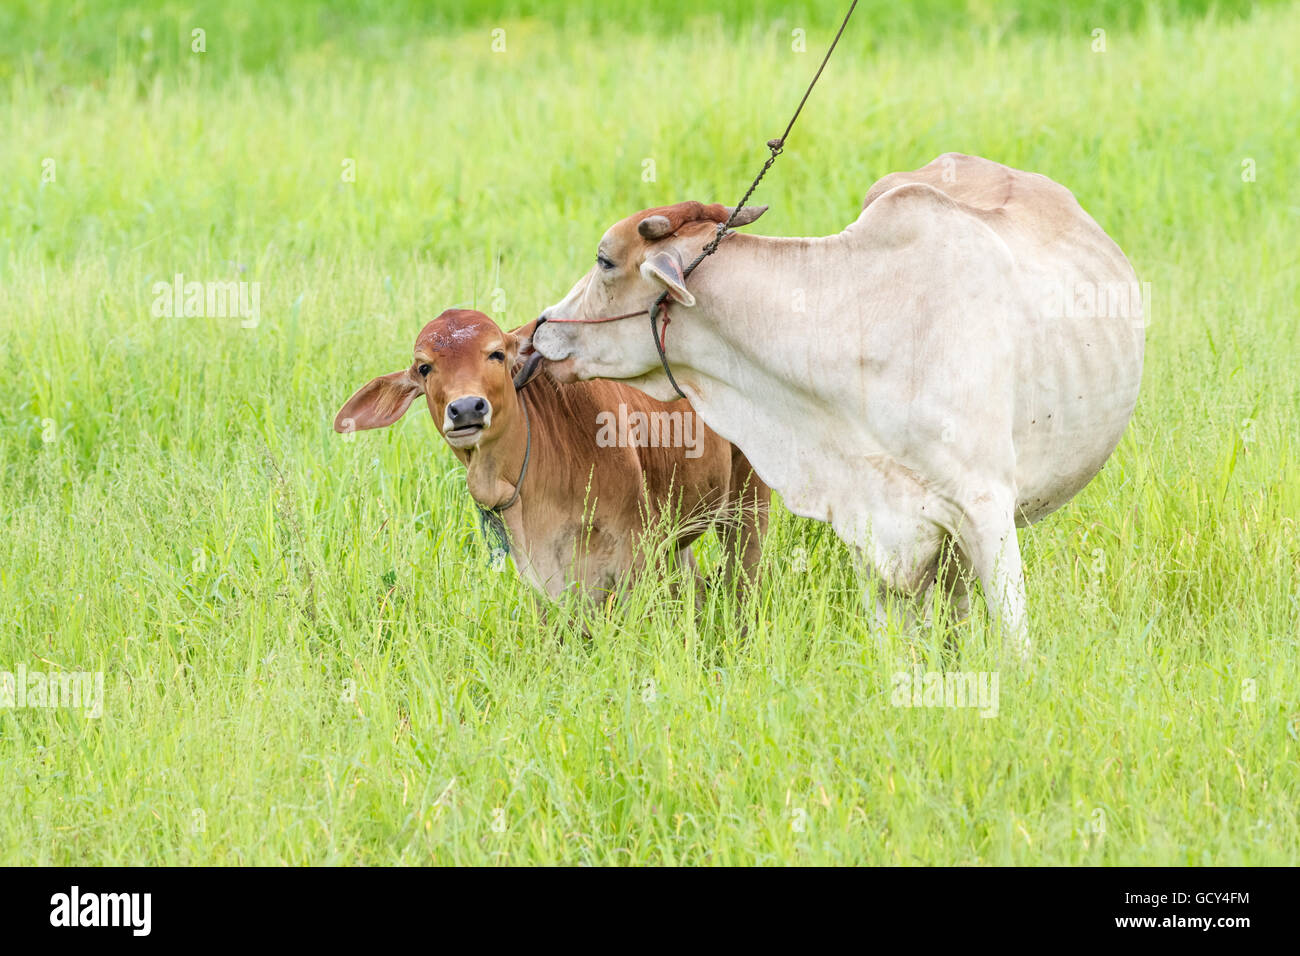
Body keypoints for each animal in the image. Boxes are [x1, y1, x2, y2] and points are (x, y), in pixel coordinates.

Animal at [333, 308, 769, 606]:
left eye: (496, 354)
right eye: (424, 367)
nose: (467, 408)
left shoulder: (636, 554)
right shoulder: (541, 574)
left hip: (748, 500)